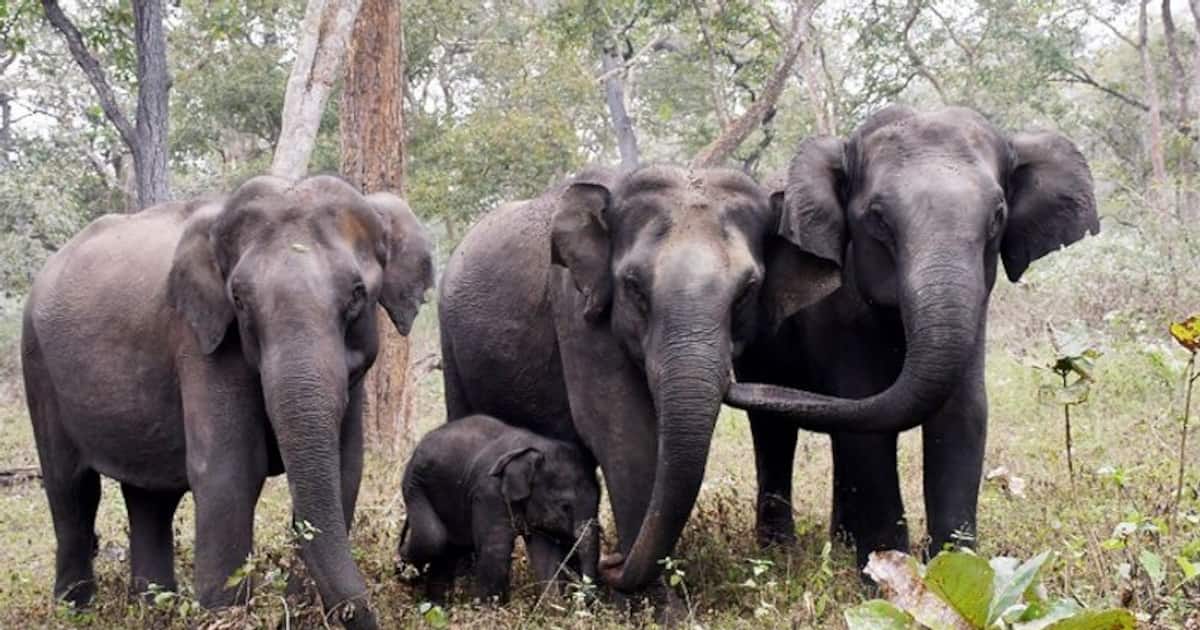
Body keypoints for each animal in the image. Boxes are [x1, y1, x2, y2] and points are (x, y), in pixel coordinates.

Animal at [21, 175, 434, 629]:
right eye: (238, 299)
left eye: (358, 294)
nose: (360, 613)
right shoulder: (201, 342)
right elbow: (230, 471)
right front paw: (225, 617)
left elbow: (345, 469)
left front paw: (301, 614)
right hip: (37, 366)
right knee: (71, 489)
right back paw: (74, 611)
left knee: (149, 499)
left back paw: (154, 611)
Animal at [398, 414, 600, 604]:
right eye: (565, 506)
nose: (580, 600)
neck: (536, 448)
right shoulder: (490, 494)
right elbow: (496, 549)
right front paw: (487, 609)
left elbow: (546, 555)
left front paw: (551, 607)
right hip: (414, 485)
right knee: (432, 538)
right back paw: (405, 572)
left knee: (450, 549)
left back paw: (436, 605)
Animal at [437, 165, 839, 592]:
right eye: (633, 285)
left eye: (748, 290)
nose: (612, 563)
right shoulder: (578, 309)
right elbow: (622, 433)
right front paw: (659, 603)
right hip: (451, 341)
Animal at [724, 105, 1098, 566]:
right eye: (878, 218)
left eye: (998, 215)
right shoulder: (834, 312)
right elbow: (865, 419)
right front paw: (886, 570)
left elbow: (963, 413)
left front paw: (955, 565)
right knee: (775, 431)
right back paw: (781, 553)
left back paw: (841, 542)